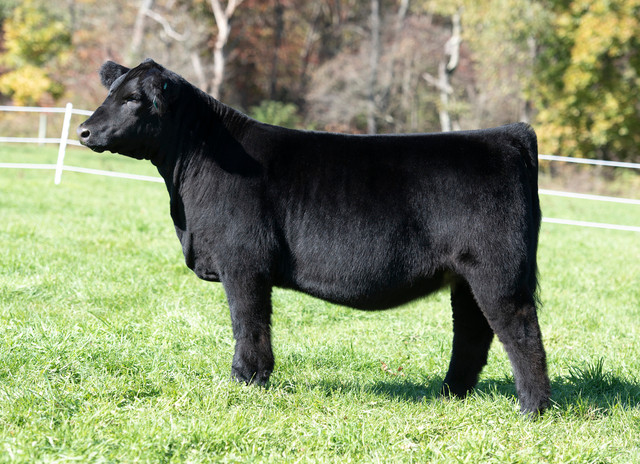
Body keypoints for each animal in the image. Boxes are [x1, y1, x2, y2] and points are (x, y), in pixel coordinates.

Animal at [77, 59, 550, 415]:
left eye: (134, 99)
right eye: (109, 93)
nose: (83, 130)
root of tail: (507, 134)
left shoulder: (242, 262)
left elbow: (248, 323)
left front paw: (247, 381)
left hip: (497, 272)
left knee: (521, 332)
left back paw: (533, 408)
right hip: (465, 277)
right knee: (472, 334)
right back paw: (450, 395)